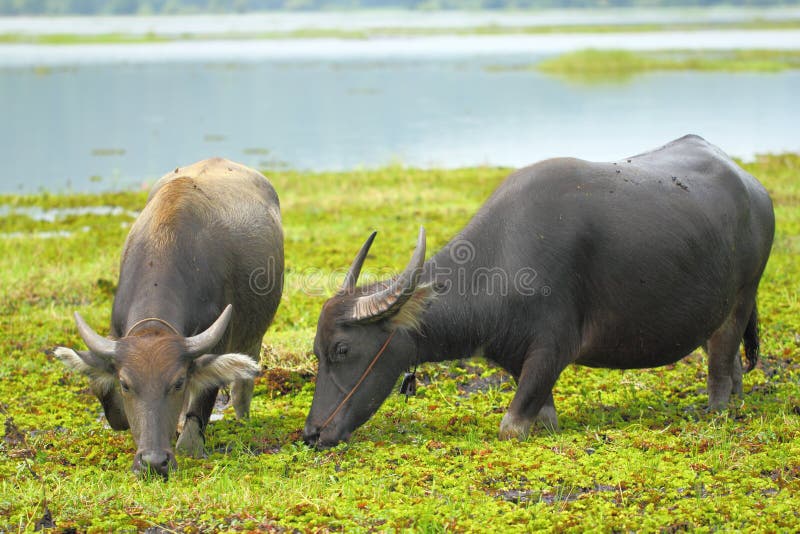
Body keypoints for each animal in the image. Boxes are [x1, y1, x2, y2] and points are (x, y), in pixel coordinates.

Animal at [55, 158, 283, 477]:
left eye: (177, 382)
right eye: (126, 384)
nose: (153, 462)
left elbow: (197, 414)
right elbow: (104, 390)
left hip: (253, 338)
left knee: (241, 389)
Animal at [303, 135, 775, 448]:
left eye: (342, 349)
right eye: (317, 352)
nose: (312, 433)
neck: (501, 261)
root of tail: (753, 186)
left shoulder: (554, 348)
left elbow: (509, 427)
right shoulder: (518, 359)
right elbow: (542, 417)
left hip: (740, 301)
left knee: (720, 369)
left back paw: (715, 410)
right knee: (732, 367)